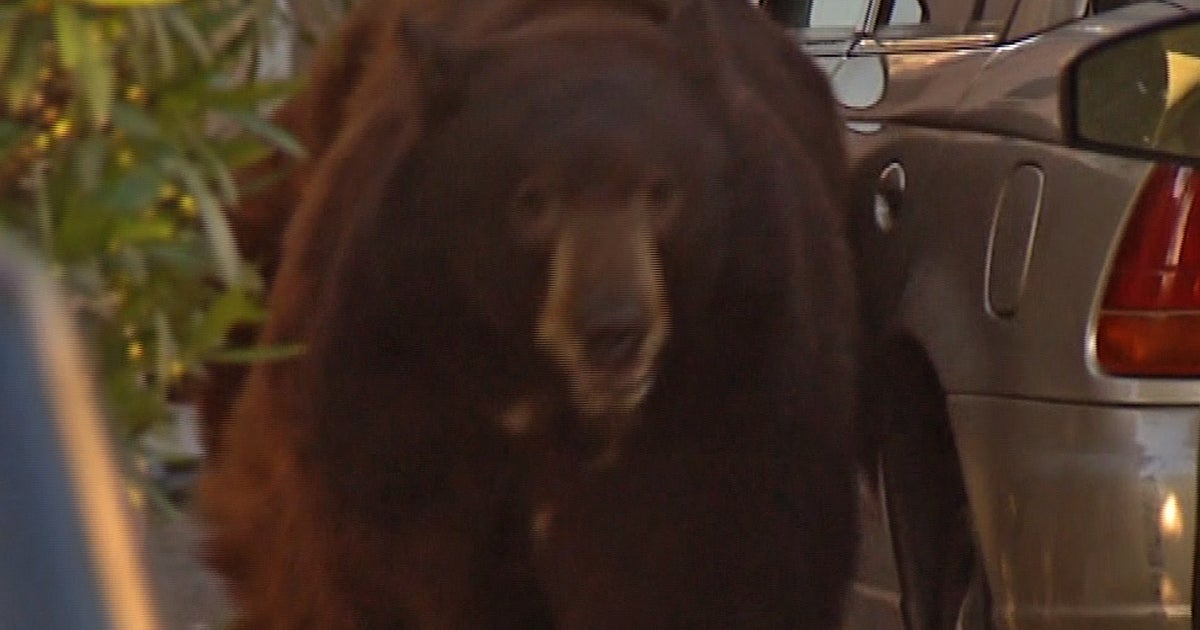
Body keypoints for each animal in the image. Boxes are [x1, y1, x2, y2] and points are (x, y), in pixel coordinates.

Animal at [198, 0, 861, 628]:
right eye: (533, 202)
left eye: (661, 191)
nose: (614, 331)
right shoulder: (390, 348)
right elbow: (387, 560)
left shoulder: (744, 360)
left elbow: (703, 563)